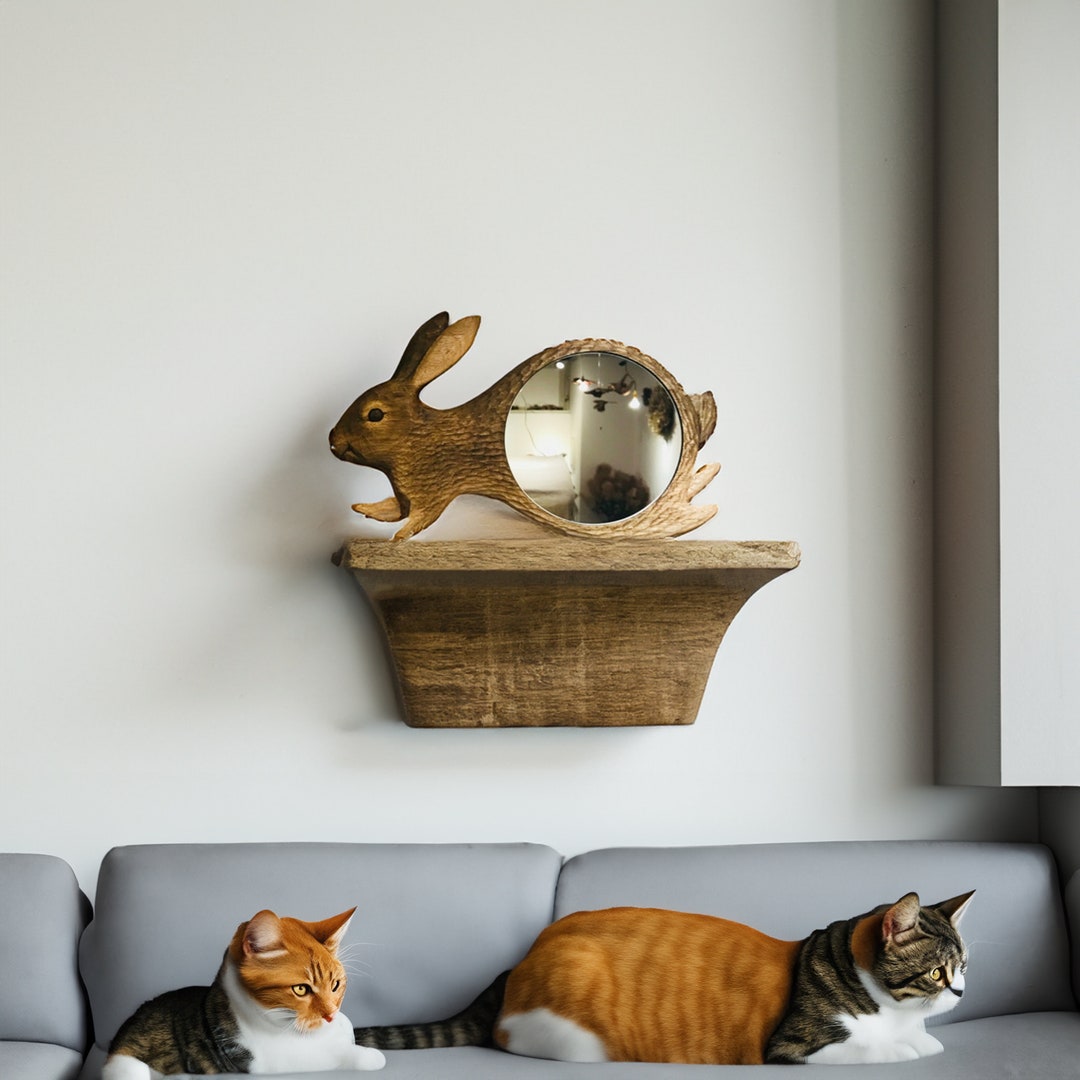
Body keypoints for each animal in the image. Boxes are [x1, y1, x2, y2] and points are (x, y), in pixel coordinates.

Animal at [329, 311, 720, 540]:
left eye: (374, 415)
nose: (332, 441)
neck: (417, 439)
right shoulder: (406, 495)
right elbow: (393, 510)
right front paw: (367, 510)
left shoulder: (434, 491)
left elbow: (418, 520)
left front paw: (398, 537)